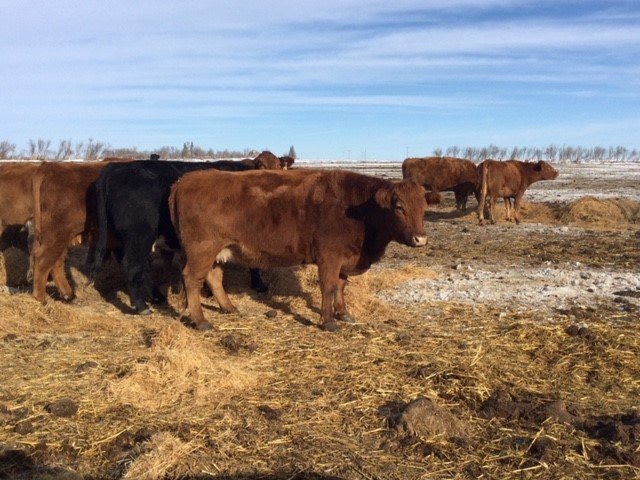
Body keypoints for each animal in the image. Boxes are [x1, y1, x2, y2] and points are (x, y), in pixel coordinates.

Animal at [89, 151, 286, 315]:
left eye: (280, 166)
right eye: (261, 166)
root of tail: (116, 167)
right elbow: (254, 263)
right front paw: (258, 285)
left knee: (139, 266)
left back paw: (156, 296)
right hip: (139, 236)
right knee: (132, 265)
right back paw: (141, 306)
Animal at [169, 169, 434, 332]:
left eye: (423, 207)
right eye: (399, 207)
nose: (420, 238)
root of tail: (185, 180)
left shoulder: (345, 258)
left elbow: (341, 286)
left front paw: (344, 313)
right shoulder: (329, 257)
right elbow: (329, 287)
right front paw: (328, 321)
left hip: (217, 252)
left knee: (213, 278)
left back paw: (229, 308)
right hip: (202, 250)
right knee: (192, 279)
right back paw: (202, 321)